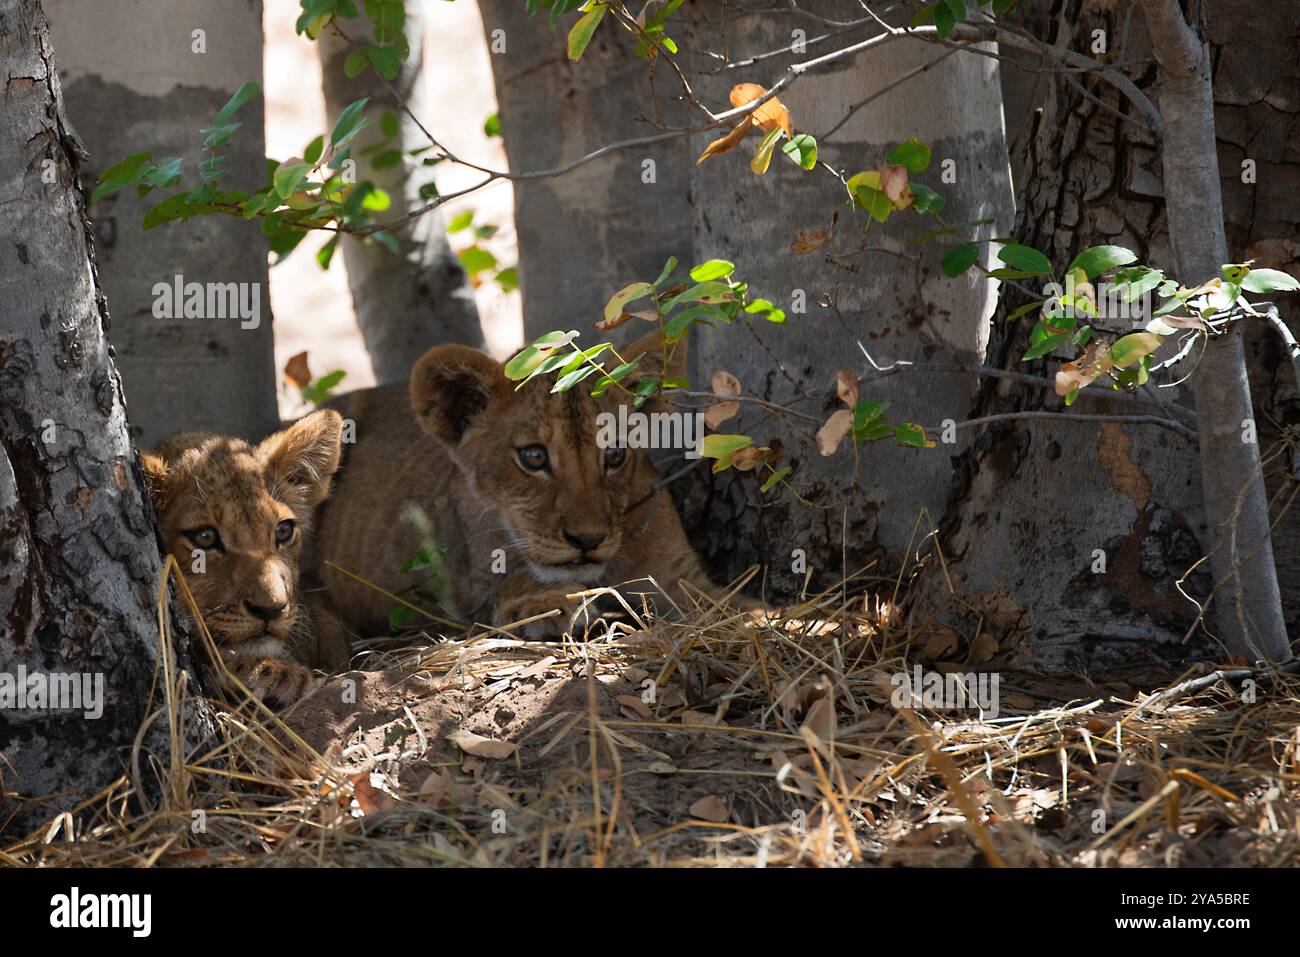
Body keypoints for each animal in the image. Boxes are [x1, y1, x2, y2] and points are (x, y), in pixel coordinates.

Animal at [308, 331, 718, 638]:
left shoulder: (680, 576)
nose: (587, 540)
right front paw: (547, 605)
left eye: (615, 454)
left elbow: (725, 606)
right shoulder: (473, 589)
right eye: (533, 457)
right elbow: (511, 585)